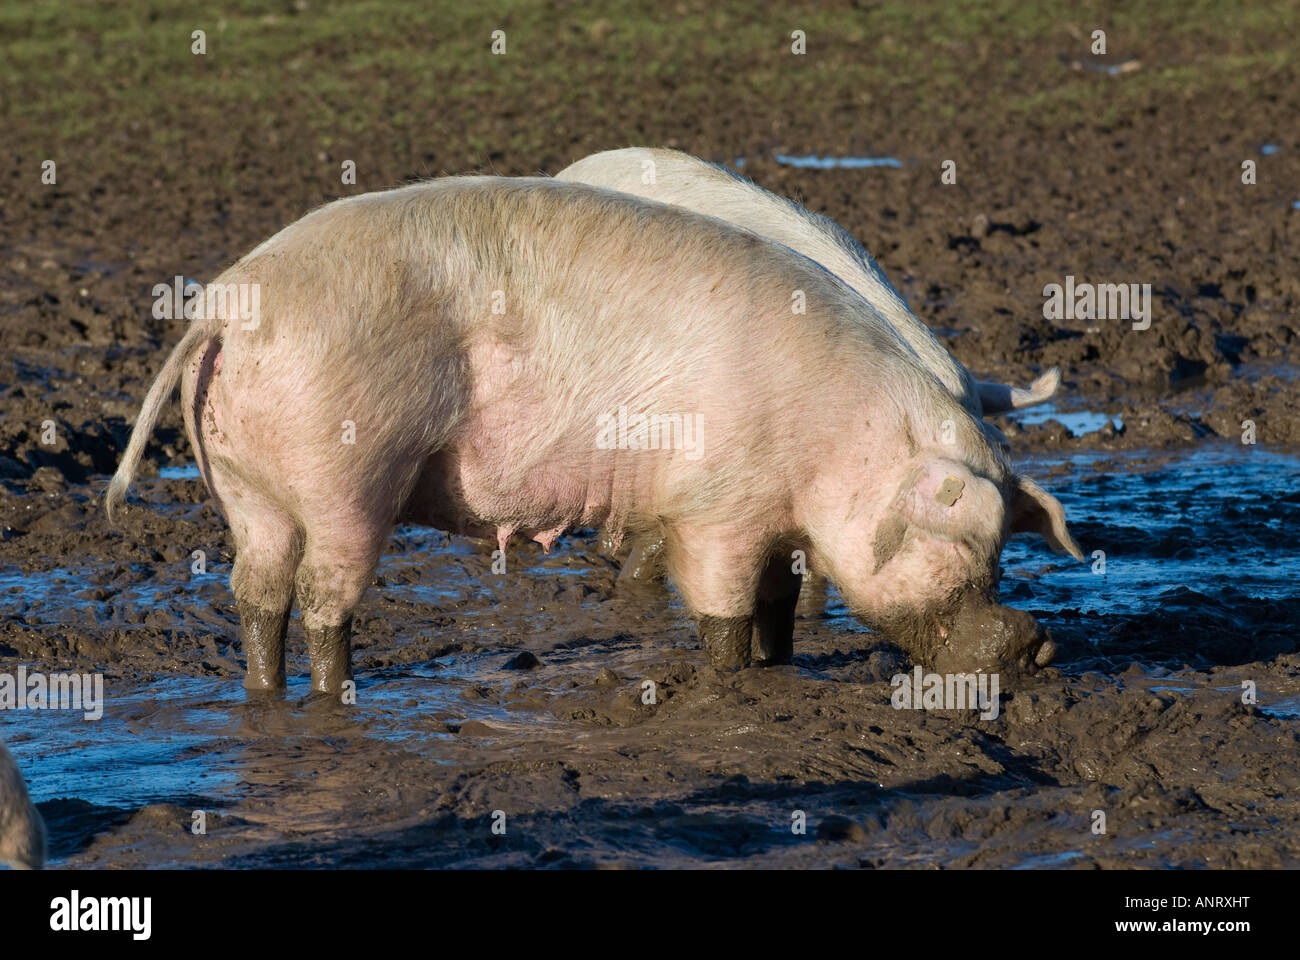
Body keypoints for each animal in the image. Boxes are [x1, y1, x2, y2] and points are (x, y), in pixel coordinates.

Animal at [106, 176, 1082, 695]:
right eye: (959, 544)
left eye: (1006, 551)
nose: (1036, 641)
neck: (832, 442)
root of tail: (223, 311)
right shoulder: (714, 508)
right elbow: (725, 611)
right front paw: (733, 686)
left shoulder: (776, 519)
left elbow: (775, 605)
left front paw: (781, 669)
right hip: (344, 475)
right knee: (322, 597)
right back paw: (335, 694)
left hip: (249, 489)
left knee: (257, 591)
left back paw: (265, 691)